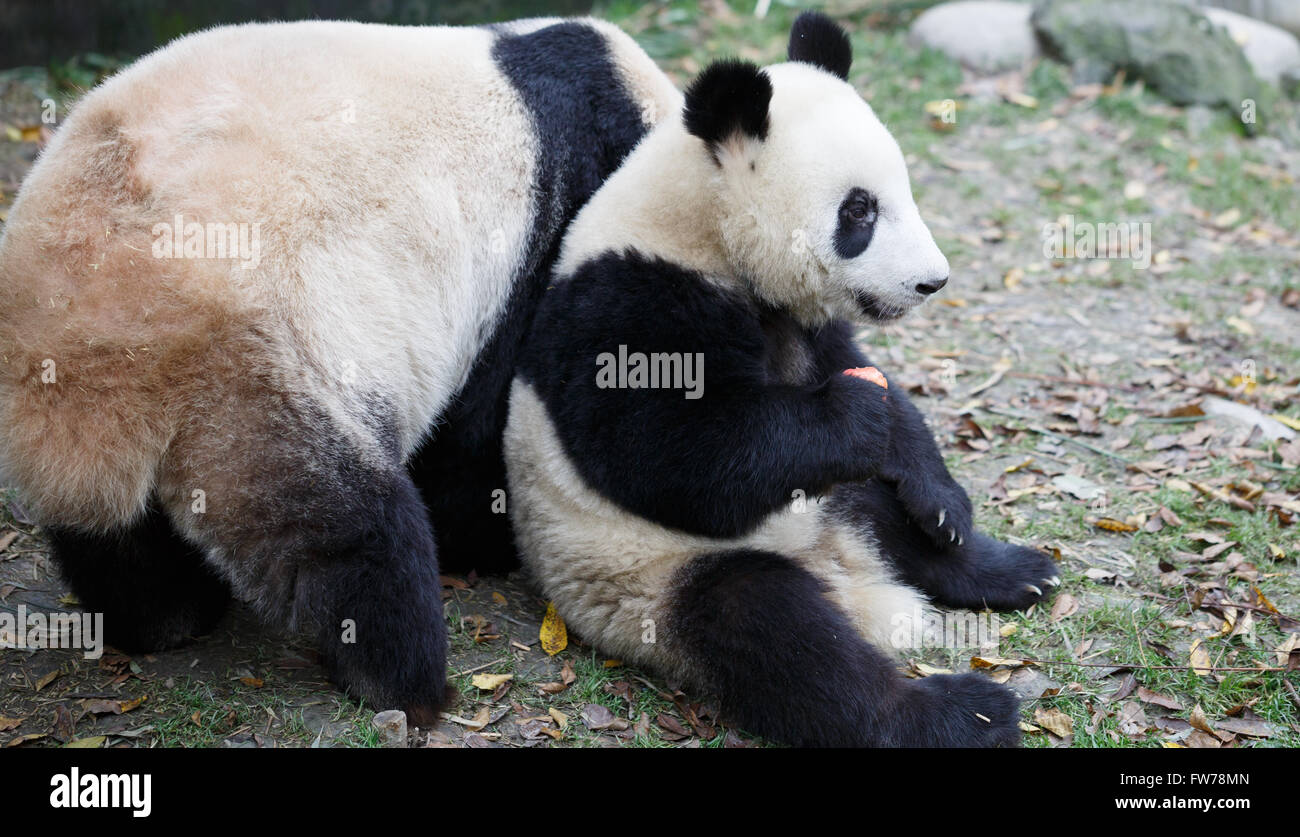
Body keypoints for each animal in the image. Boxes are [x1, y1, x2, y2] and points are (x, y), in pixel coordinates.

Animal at [0, 18, 678, 721]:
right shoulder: (551, 224)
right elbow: (478, 439)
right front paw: (481, 540)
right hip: (261, 369)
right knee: (352, 527)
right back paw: (401, 680)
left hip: (87, 401)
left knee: (113, 536)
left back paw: (163, 617)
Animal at [503, 12, 1062, 747]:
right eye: (859, 211)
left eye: (903, 191)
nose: (931, 281)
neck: (700, 225)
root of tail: (846, 575)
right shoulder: (626, 299)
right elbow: (677, 456)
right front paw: (857, 408)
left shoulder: (802, 322)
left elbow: (877, 391)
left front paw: (941, 497)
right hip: (647, 581)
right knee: (773, 630)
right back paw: (960, 712)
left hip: (827, 500)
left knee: (880, 510)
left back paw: (1007, 568)